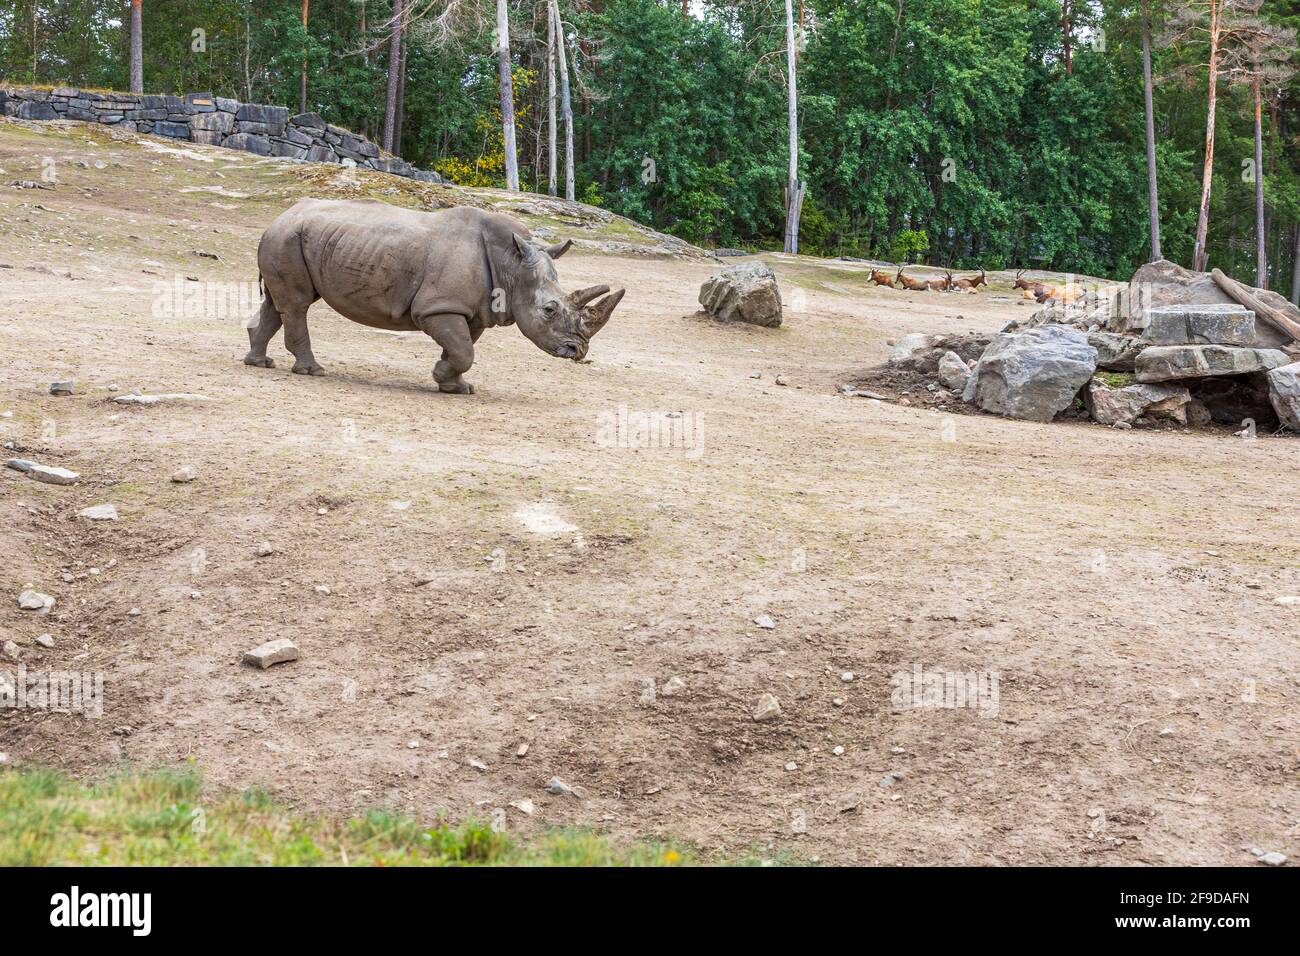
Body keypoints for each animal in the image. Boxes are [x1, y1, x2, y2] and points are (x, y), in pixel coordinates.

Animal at [245, 198, 624, 393]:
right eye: (549, 310)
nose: (578, 351)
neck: (512, 265)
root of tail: (279, 216)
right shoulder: (436, 308)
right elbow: (464, 350)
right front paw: (444, 378)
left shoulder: (471, 310)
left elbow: (462, 347)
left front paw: (455, 386)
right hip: (287, 237)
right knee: (297, 304)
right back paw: (312, 372)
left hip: (292, 237)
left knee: (279, 303)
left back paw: (260, 363)